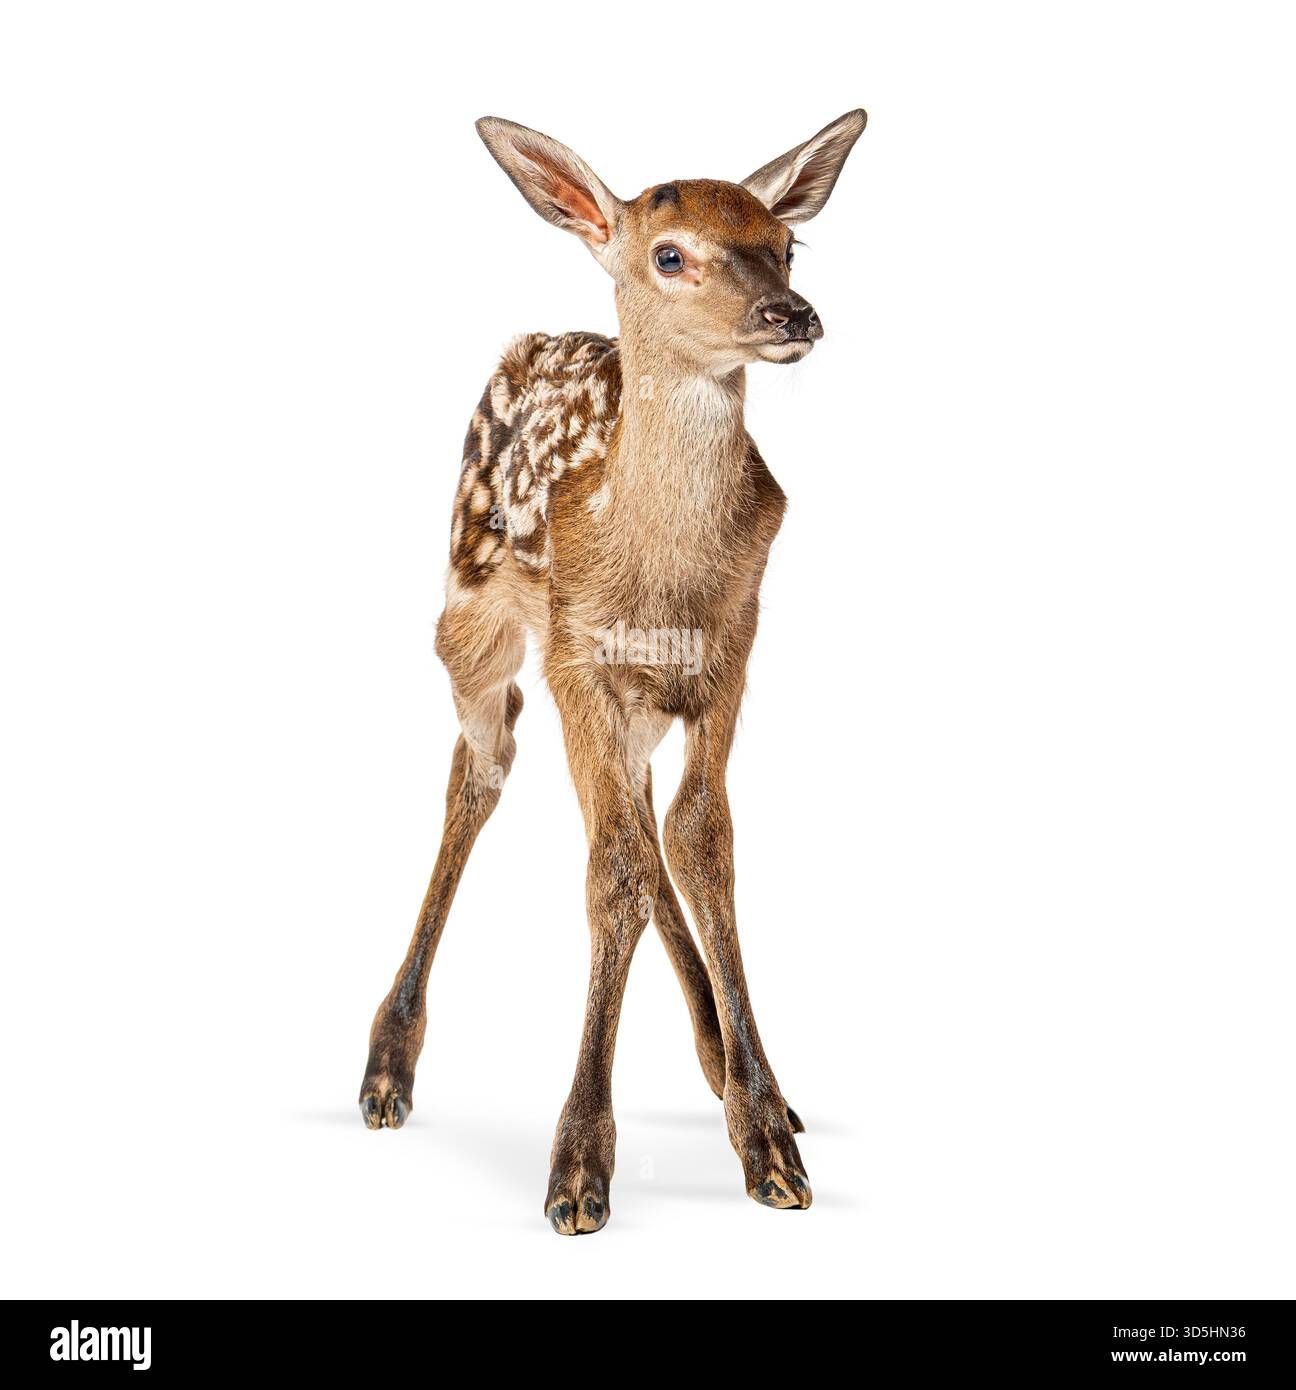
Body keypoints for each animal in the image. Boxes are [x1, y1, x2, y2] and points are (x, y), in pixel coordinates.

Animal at [359, 109, 868, 1234]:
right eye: (669, 255)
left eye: (789, 244)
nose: (793, 313)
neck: (660, 570)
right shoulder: (577, 653)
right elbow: (612, 872)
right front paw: (580, 1168)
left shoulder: (731, 647)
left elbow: (699, 843)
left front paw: (765, 1133)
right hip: (471, 610)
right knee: (483, 765)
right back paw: (386, 1065)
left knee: (637, 816)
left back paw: (725, 1064)